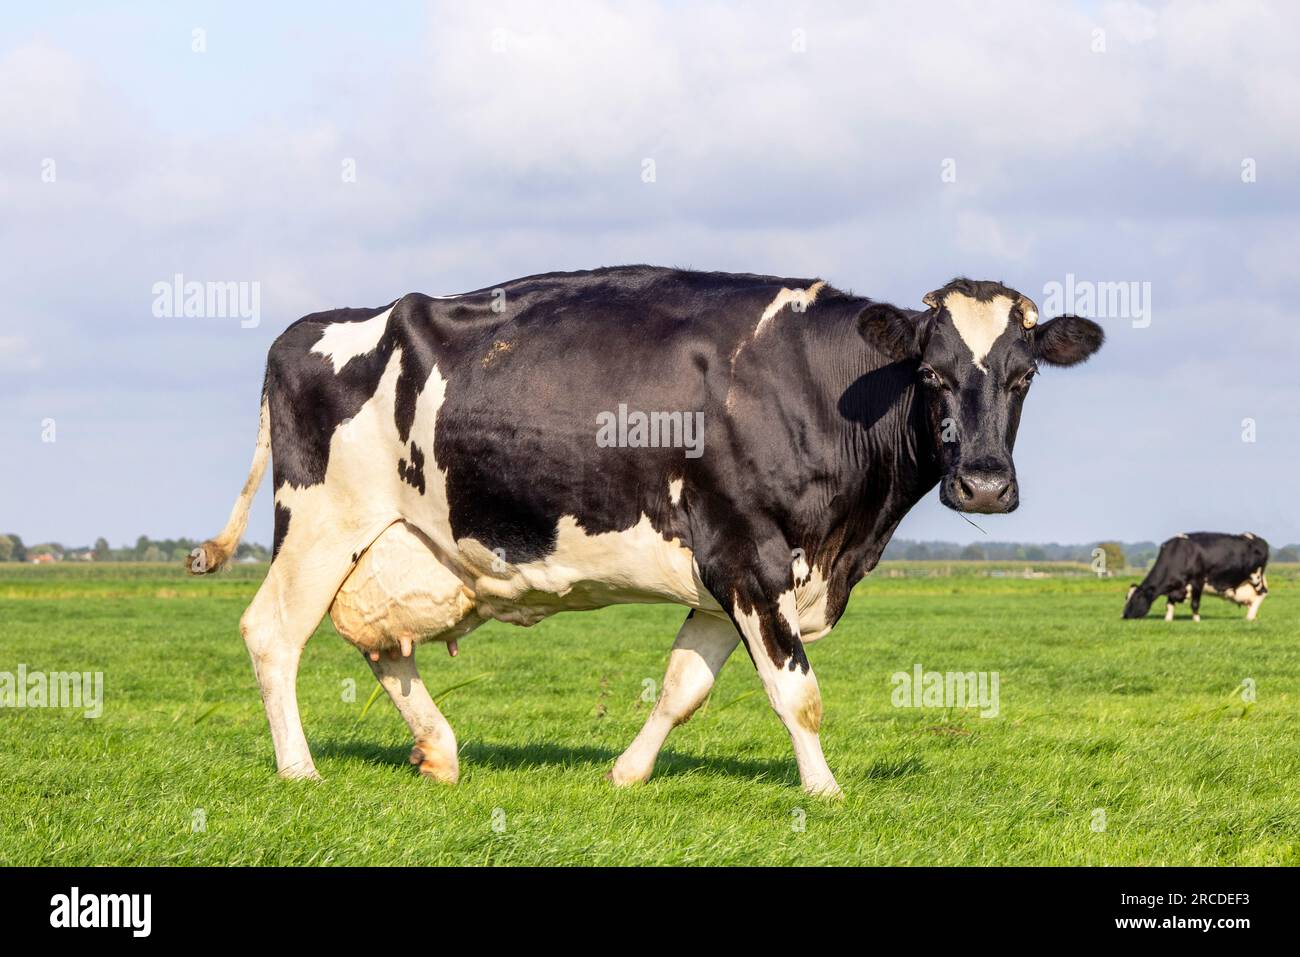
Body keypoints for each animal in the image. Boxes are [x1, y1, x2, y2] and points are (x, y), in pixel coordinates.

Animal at [190, 267, 1104, 796]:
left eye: (1023, 377)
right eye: (932, 374)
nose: (983, 482)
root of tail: (310, 327)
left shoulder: (723, 577)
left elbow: (682, 686)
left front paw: (626, 773)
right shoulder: (749, 555)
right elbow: (797, 693)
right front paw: (825, 792)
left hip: (403, 546)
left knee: (380, 642)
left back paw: (440, 750)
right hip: (320, 523)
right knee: (273, 632)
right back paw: (300, 768)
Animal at [1122, 532, 1270, 622]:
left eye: (1136, 599)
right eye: (1126, 598)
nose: (1124, 616)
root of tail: (1258, 539)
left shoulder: (1198, 580)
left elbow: (1195, 604)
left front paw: (1196, 621)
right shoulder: (1176, 586)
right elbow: (1169, 605)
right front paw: (1168, 620)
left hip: (1256, 576)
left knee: (1262, 593)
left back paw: (1249, 617)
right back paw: (1252, 616)